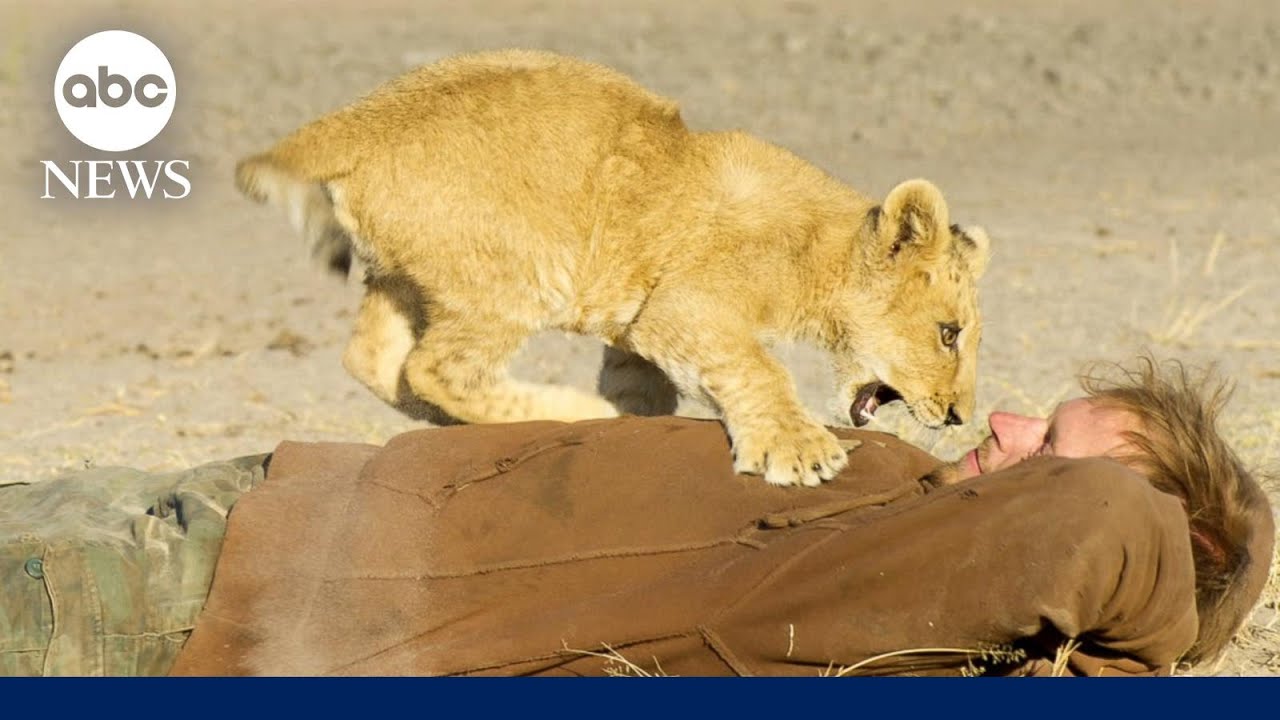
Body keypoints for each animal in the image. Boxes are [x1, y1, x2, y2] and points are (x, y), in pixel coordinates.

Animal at [234, 49, 991, 488]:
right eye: (949, 334)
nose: (958, 416)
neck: (823, 249)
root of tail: (360, 118)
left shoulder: (640, 326)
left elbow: (651, 386)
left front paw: (636, 425)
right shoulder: (687, 304)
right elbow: (756, 366)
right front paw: (798, 449)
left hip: (403, 276)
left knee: (375, 361)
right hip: (517, 271)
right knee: (437, 368)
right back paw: (570, 413)